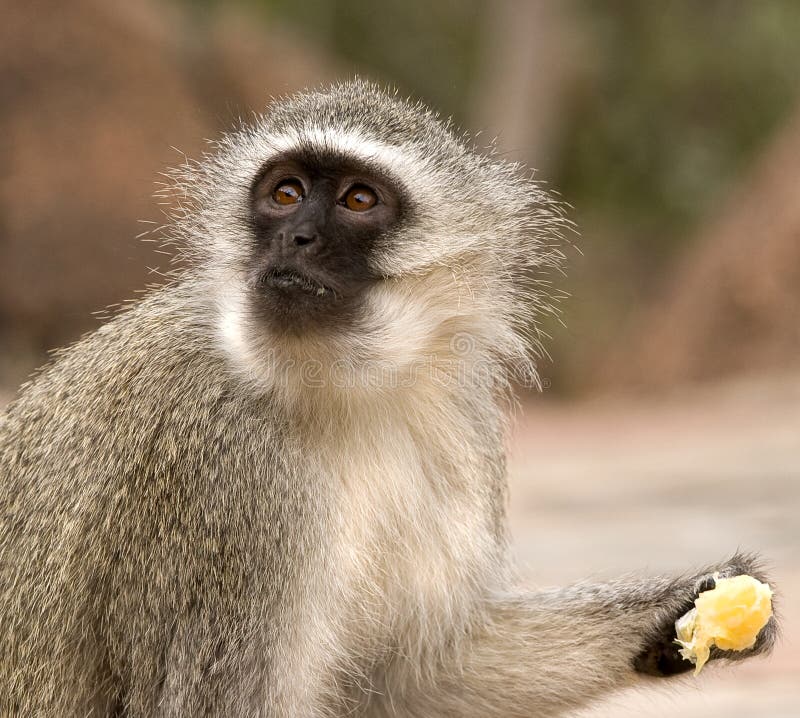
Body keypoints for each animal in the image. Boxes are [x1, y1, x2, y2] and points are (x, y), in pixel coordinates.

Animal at [0, 80, 776, 717]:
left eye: (357, 200)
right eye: (285, 194)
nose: (295, 238)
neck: (336, 391)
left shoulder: (458, 436)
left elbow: (418, 676)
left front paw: (679, 614)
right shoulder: (227, 484)